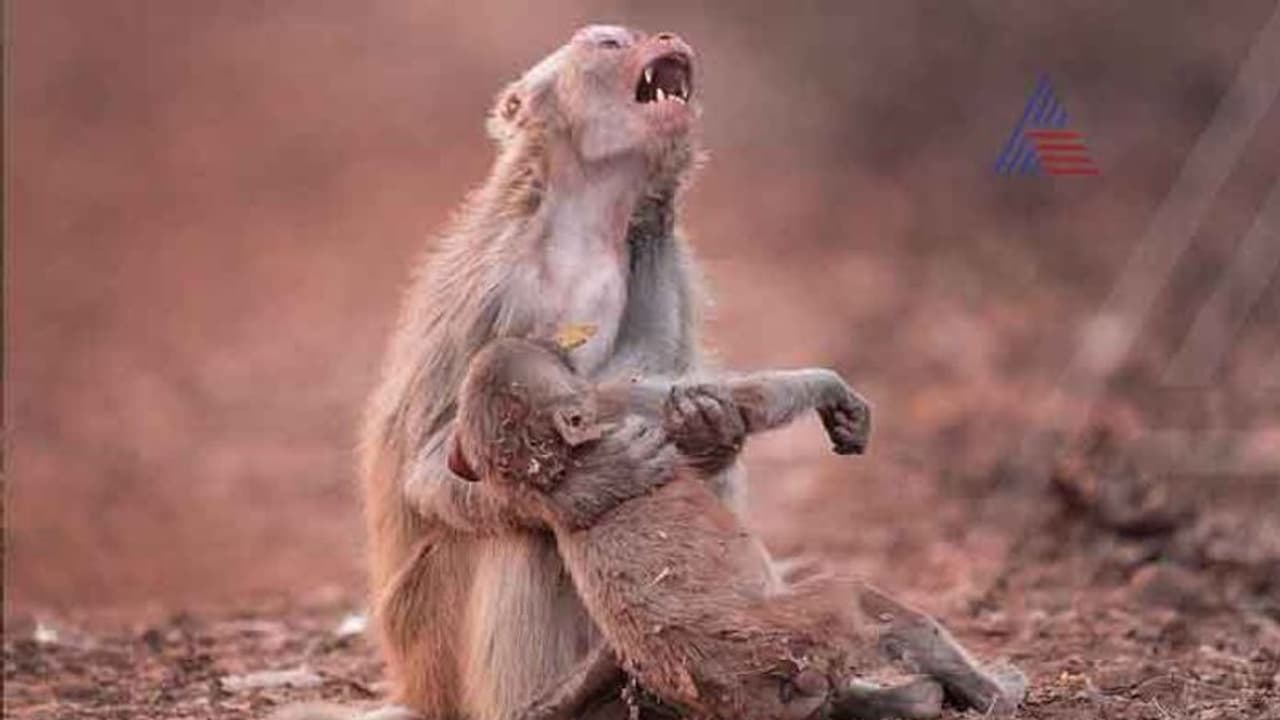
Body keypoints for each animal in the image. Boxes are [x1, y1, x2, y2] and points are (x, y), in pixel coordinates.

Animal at [446, 337, 1026, 720]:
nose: (554, 340)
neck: (555, 464)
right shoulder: (619, 402)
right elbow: (749, 401)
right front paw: (832, 389)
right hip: (793, 631)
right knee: (873, 608)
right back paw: (990, 692)